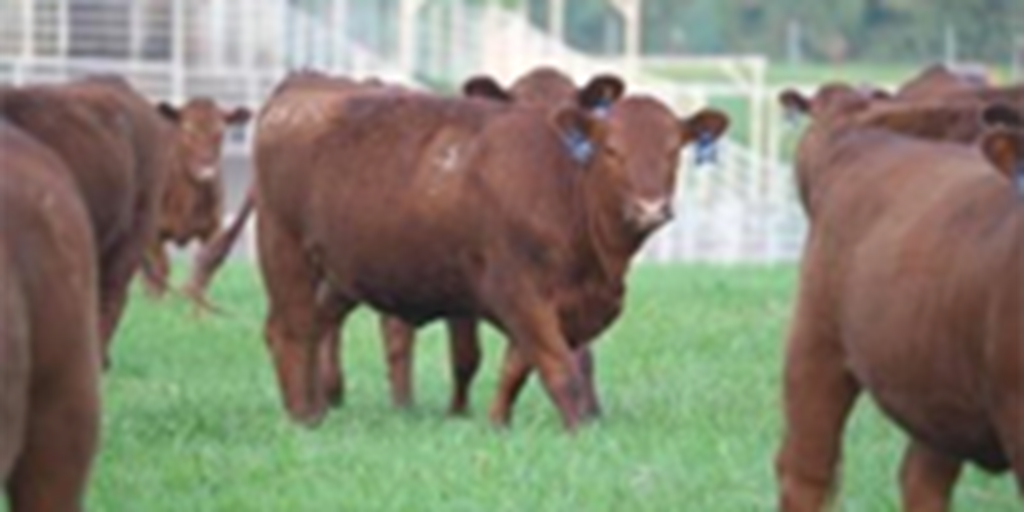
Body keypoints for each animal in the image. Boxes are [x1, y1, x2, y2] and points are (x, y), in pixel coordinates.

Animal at [139, 97, 251, 309]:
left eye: (220, 132)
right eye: (187, 129)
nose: (207, 170)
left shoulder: (214, 227)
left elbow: (206, 262)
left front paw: (198, 306)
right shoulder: (152, 232)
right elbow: (161, 266)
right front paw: (158, 305)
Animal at [254, 73, 728, 430]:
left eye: (673, 151)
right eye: (611, 150)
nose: (650, 207)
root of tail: (300, 92)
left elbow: (516, 368)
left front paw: (498, 423)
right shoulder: (520, 293)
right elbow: (559, 369)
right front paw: (578, 431)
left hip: (333, 272)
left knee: (314, 327)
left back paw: (316, 408)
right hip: (285, 251)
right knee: (290, 330)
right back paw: (302, 419)